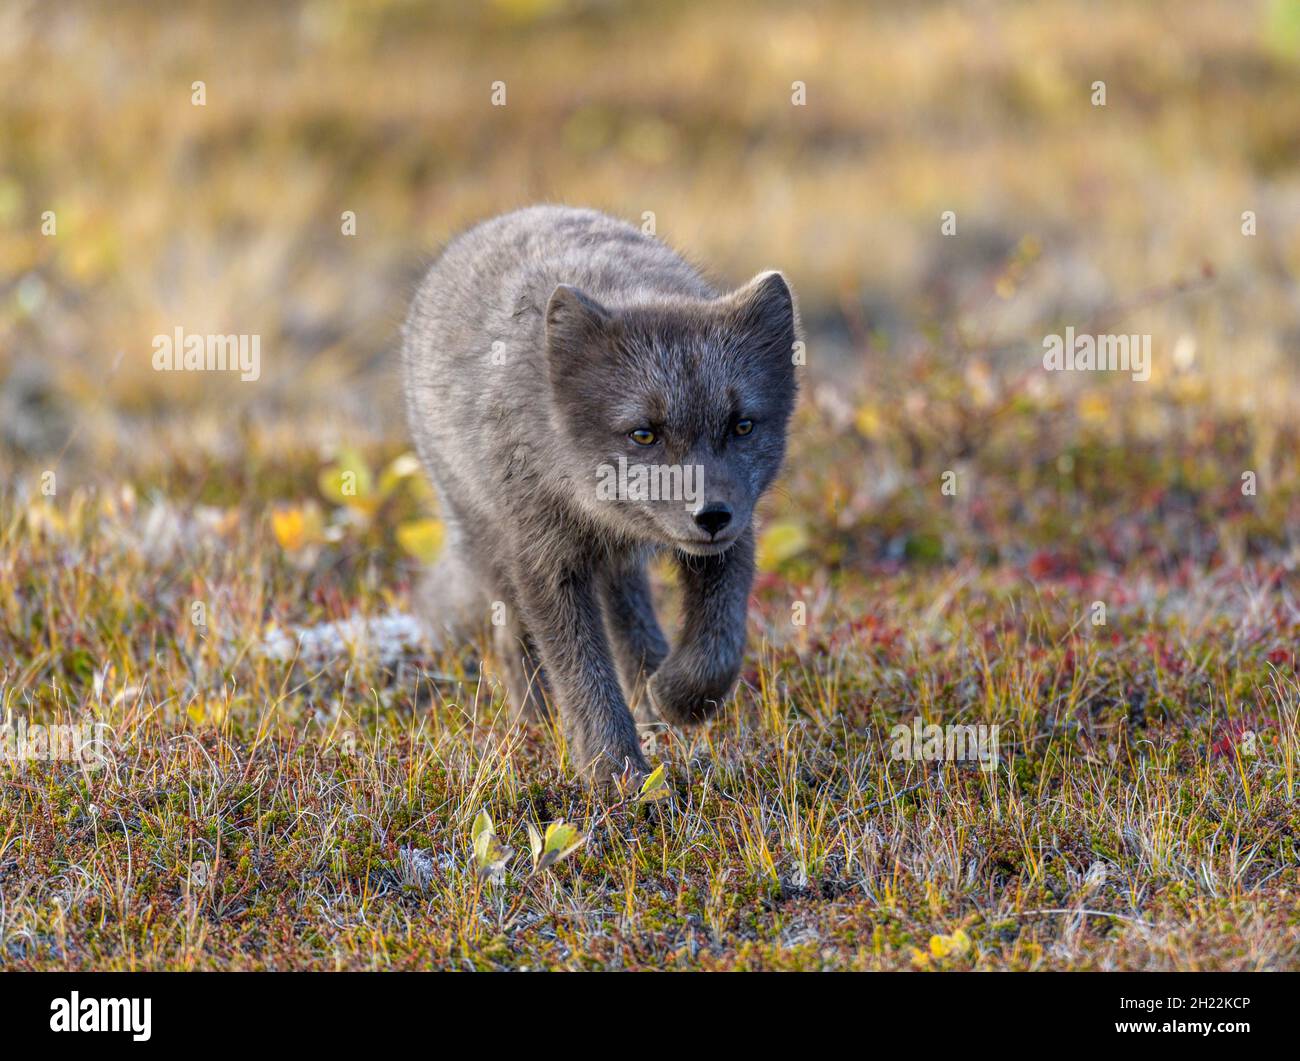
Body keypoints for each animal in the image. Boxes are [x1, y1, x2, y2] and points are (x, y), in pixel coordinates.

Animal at [401, 205, 799, 786]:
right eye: (643, 434)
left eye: (742, 426)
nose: (711, 516)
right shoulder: (544, 561)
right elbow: (583, 675)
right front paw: (616, 774)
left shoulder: (736, 535)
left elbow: (717, 649)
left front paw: (673, 698)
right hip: (488, 545)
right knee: (511, 642)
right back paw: (536, 726)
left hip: (618, 565)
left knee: (629, 615)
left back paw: (650, 701)